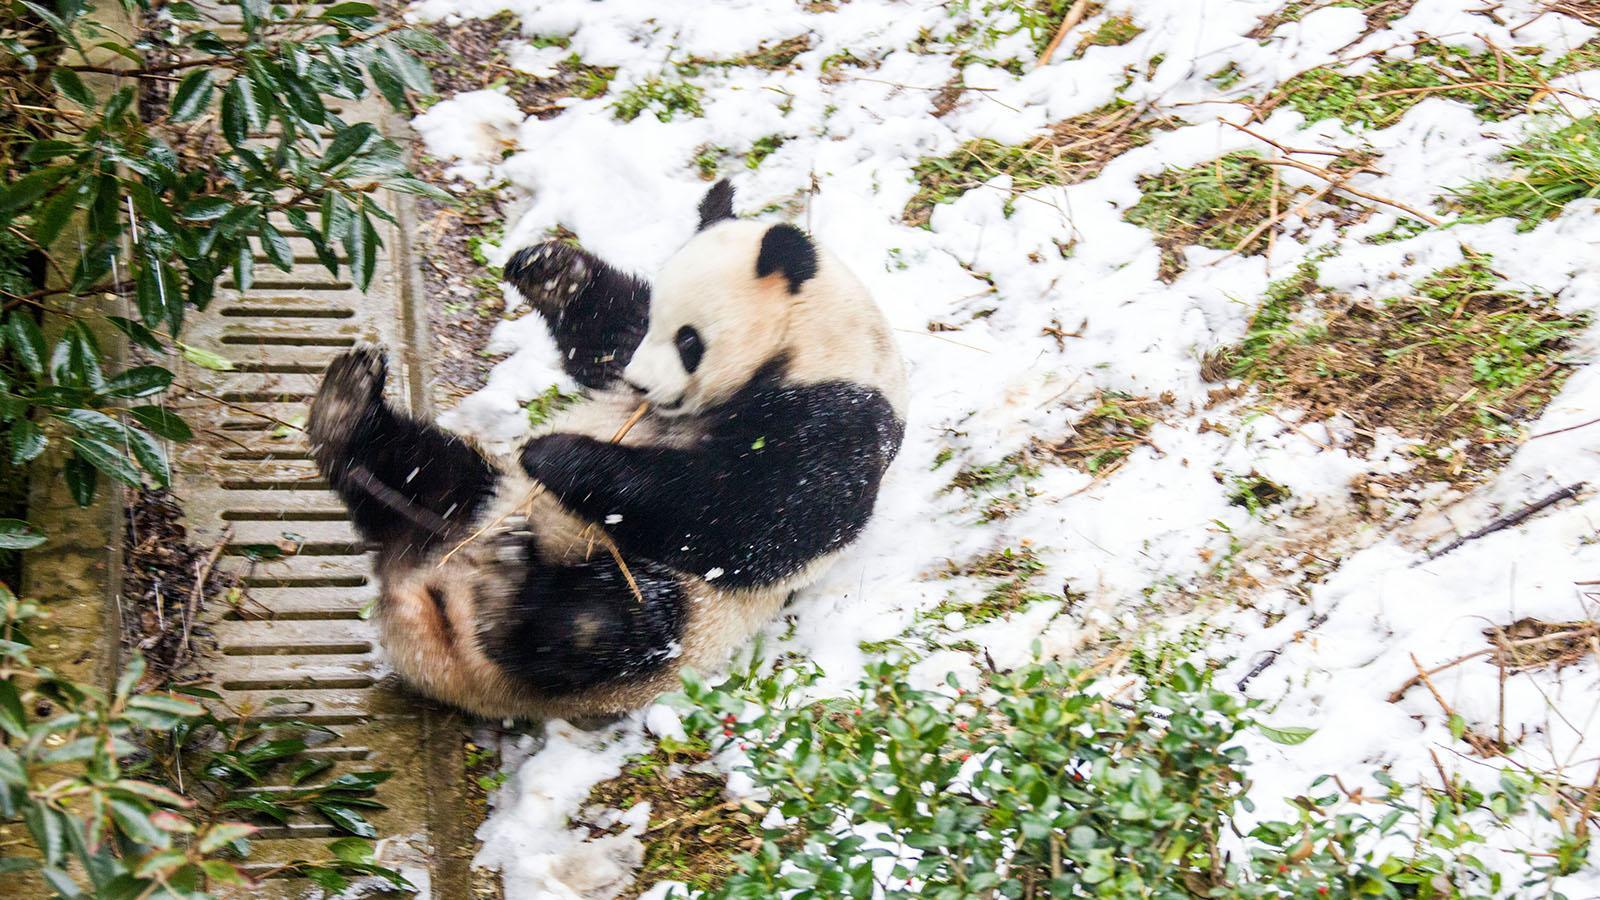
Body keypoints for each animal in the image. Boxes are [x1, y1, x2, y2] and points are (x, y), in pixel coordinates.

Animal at [306, 180, 907, 720]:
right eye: (658, 324)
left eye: (689, 340)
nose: (639, 384)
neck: (815, 346)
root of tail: (429, 633)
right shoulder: (627, 352)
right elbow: (606, 332)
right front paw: (551, 268)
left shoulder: (837, 419)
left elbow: (746, 517)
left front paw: (559, 457)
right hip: (479, 500)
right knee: (426, 471)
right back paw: (344, 409)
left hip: (669, 625)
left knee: (615, 625)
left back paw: (506, 596)